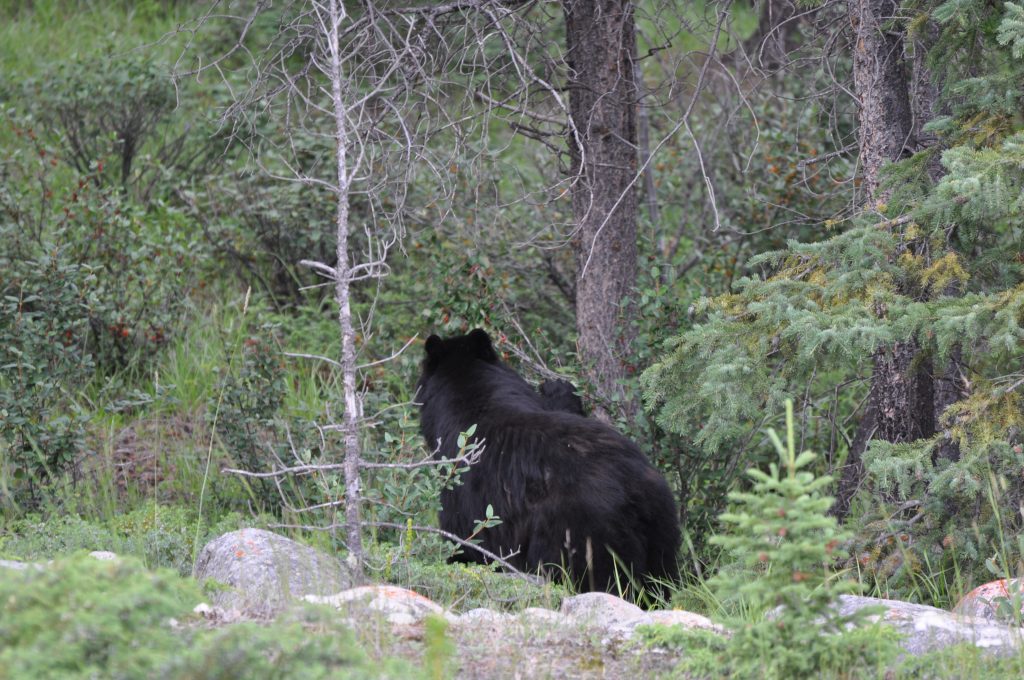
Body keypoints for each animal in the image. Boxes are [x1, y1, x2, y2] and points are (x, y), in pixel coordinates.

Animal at [416, 329, 681, 598]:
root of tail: (633, 486)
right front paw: (559, 387)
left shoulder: (463, 488)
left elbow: (467, 543)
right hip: (662, 525)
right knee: (661, 578)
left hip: (583, 531)